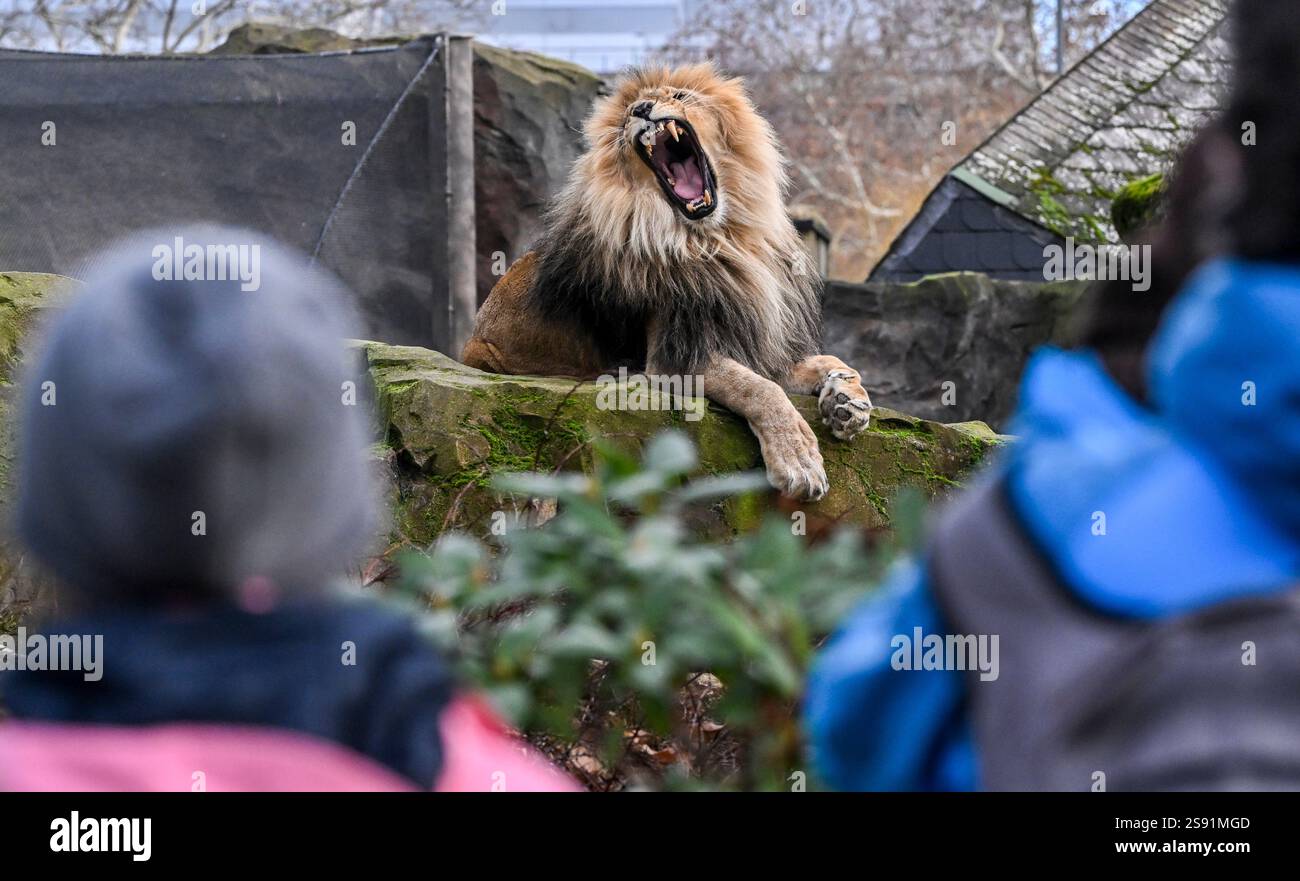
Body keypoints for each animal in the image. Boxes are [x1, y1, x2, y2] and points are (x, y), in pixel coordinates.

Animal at [461, 63, 873, 500]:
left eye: (679, 96)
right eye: (627, 116)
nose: (642, 108)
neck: (721, 237)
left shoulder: (755, 343)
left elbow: (830, 361)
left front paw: (847, 401)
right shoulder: (673, 358)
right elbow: (760, 389)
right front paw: (799, 461)